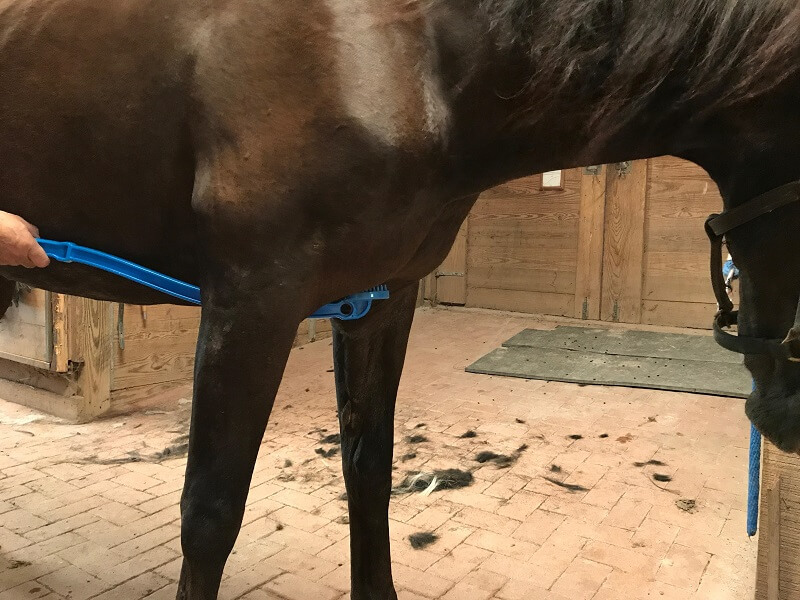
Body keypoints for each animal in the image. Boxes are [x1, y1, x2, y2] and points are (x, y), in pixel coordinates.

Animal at [1, 0, 798, 598]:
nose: (784, 418)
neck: (397, 50)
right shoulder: (250, 303)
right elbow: (209, 515)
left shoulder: (381, 299)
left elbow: (369, 473)